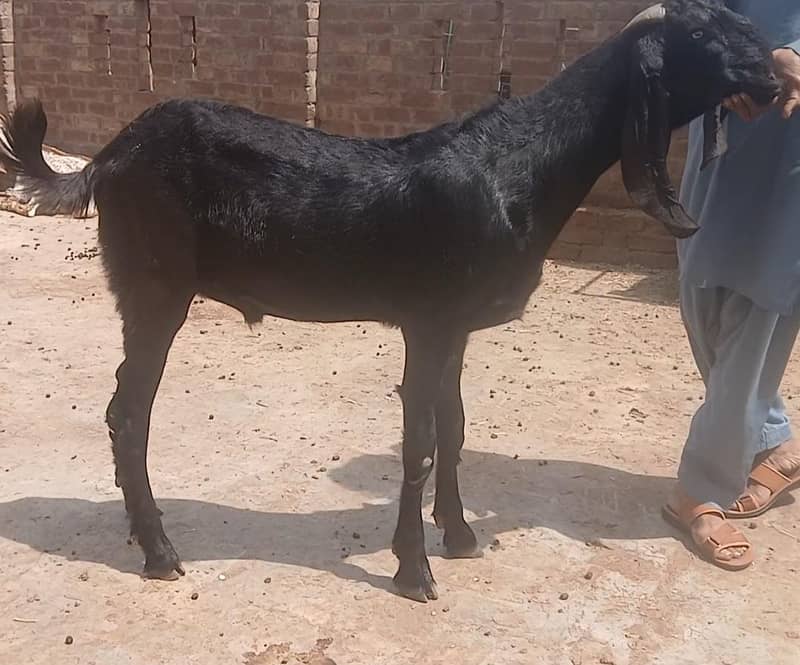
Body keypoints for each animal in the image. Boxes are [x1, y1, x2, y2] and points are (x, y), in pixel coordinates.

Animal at [0, 0, 780, 602]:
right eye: (703, 34)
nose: (774, 76)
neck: (516, 166)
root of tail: (110, 154)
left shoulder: (457, 327)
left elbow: (455, 428)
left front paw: (461, 536)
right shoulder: (427, 321)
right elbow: (420, 442)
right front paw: (414, 569)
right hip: (154, 285)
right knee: (129, 412)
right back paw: (160, 550)